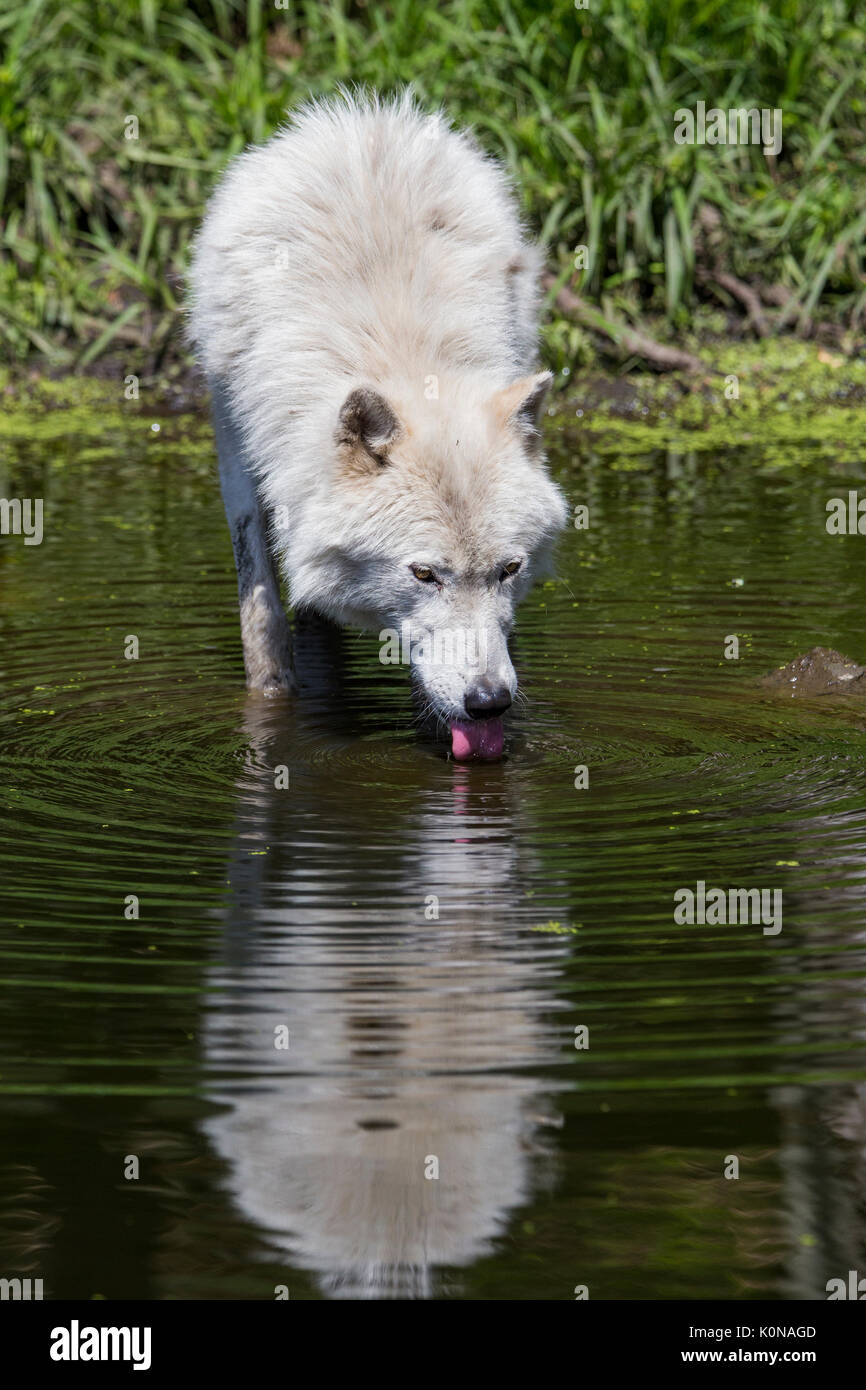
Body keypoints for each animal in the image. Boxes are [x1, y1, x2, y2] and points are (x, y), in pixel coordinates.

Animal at [188, 90, 567, 759]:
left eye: (509, 570)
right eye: (424, 574)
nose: (489, 701)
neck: (402, 349)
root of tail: (369, 114)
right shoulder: (237, 444)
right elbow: (262, 609)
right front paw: (274, 696)